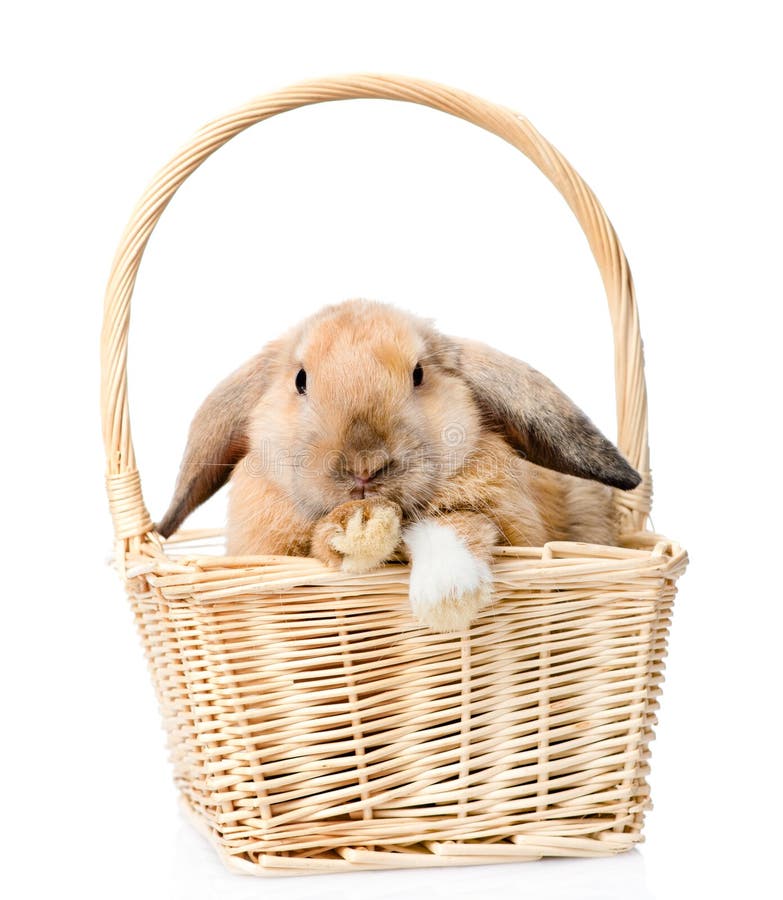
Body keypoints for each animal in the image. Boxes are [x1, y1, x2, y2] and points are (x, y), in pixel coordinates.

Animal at [157, 299, 641, 632]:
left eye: (419, 374)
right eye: (300, 380)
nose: (364, 467)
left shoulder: (512, 526)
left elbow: (457, 522)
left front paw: (446, 596)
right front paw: (358, 529)